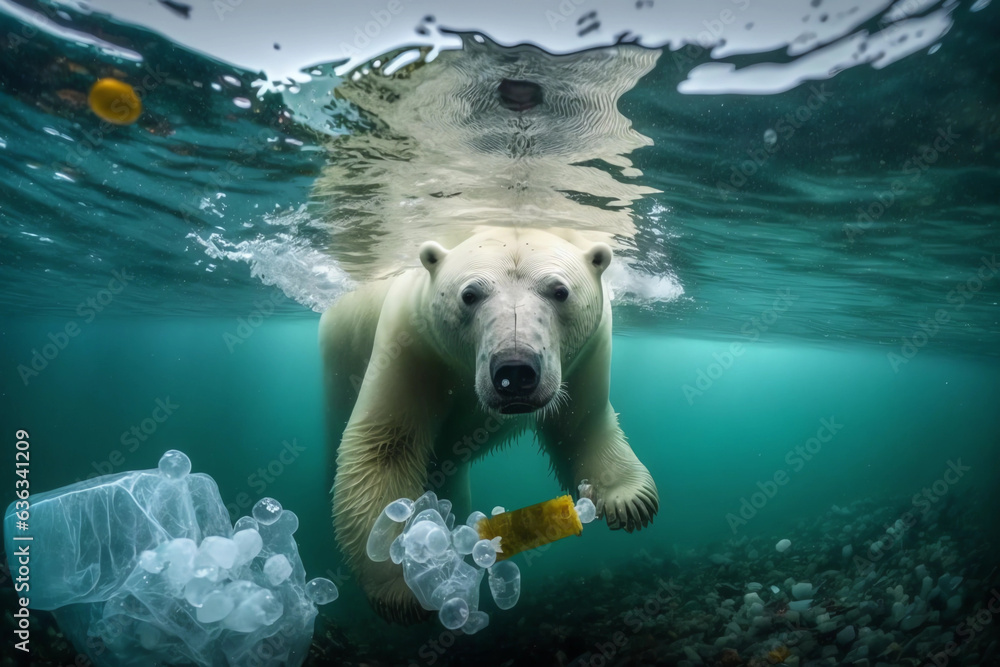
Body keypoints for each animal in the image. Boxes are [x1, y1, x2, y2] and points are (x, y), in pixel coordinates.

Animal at [319, 226, 658, 623]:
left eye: (560, 291)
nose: (515, 370)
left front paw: (629, 500)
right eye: (469, 294)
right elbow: (386, 446)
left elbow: (581, 421)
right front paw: (408, 582)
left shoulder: (589, 348)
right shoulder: (410, 343)